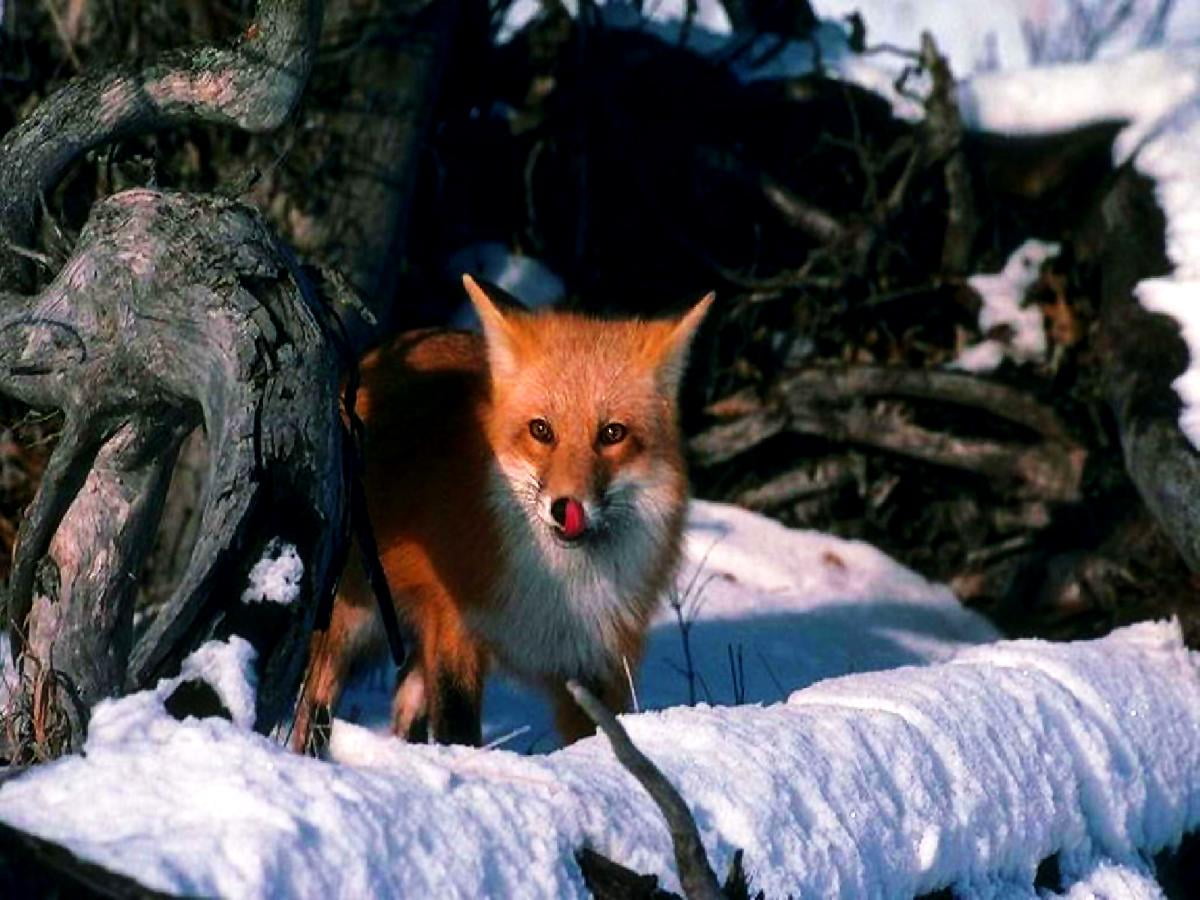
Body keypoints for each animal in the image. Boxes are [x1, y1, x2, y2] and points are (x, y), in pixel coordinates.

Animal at [293, 275, 712, 750]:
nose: (566, 507)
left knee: (405, 708)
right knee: (312, 712)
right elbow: (458, 728)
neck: (557, 588)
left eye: (612, 434)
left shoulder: (598, 662)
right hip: (349, 621)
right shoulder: (457, 626)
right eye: (541, 430)